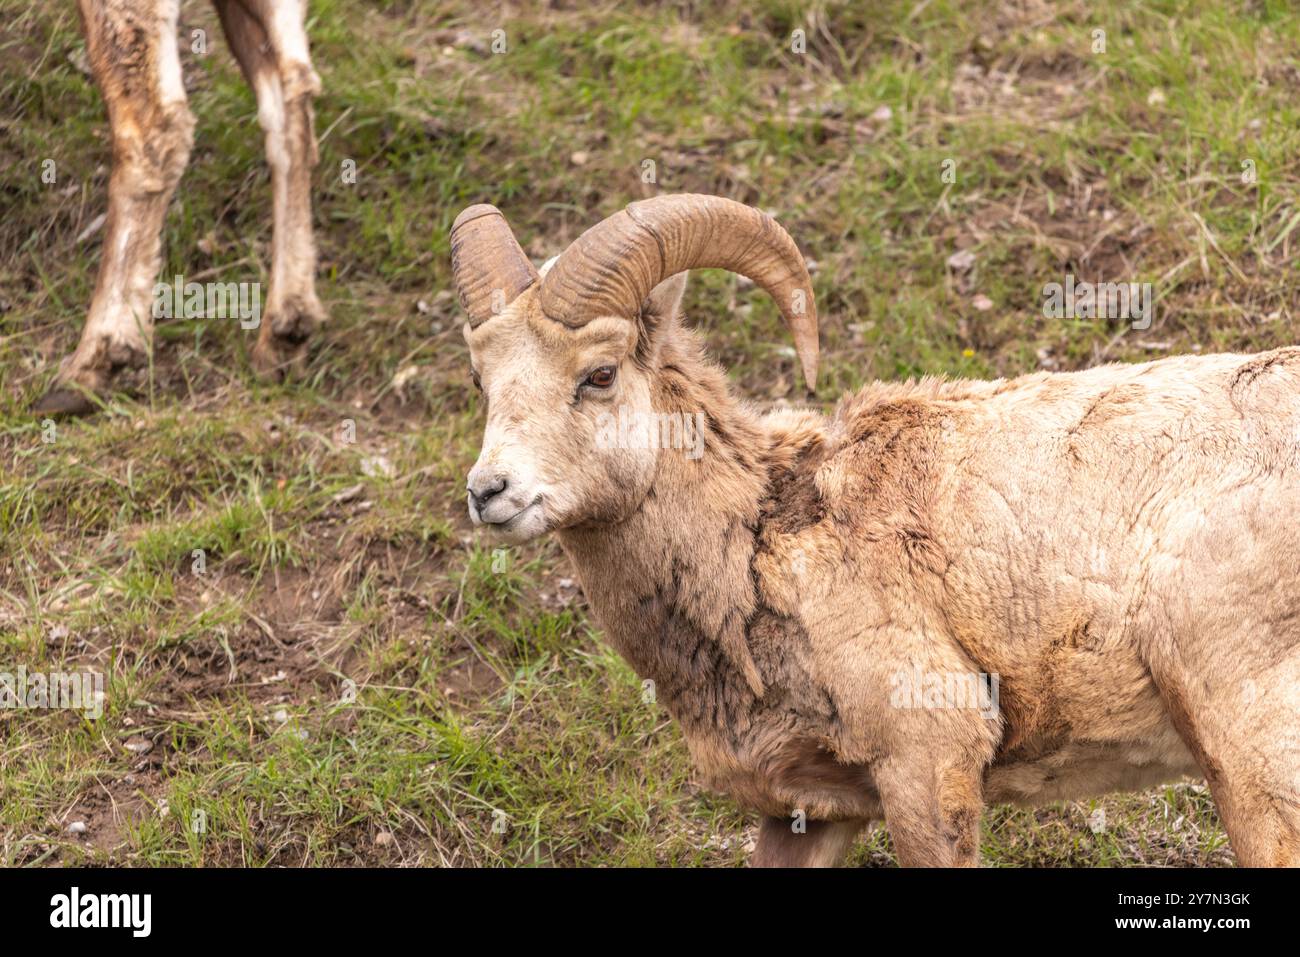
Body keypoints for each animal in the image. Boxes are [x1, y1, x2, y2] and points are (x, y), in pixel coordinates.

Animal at [451, 193, 1300, 867]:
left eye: (599, 373)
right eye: (483, 382)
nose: (489, 492)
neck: (760, 536)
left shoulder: (927, 767)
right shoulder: (808, 812)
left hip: (1251, 760)